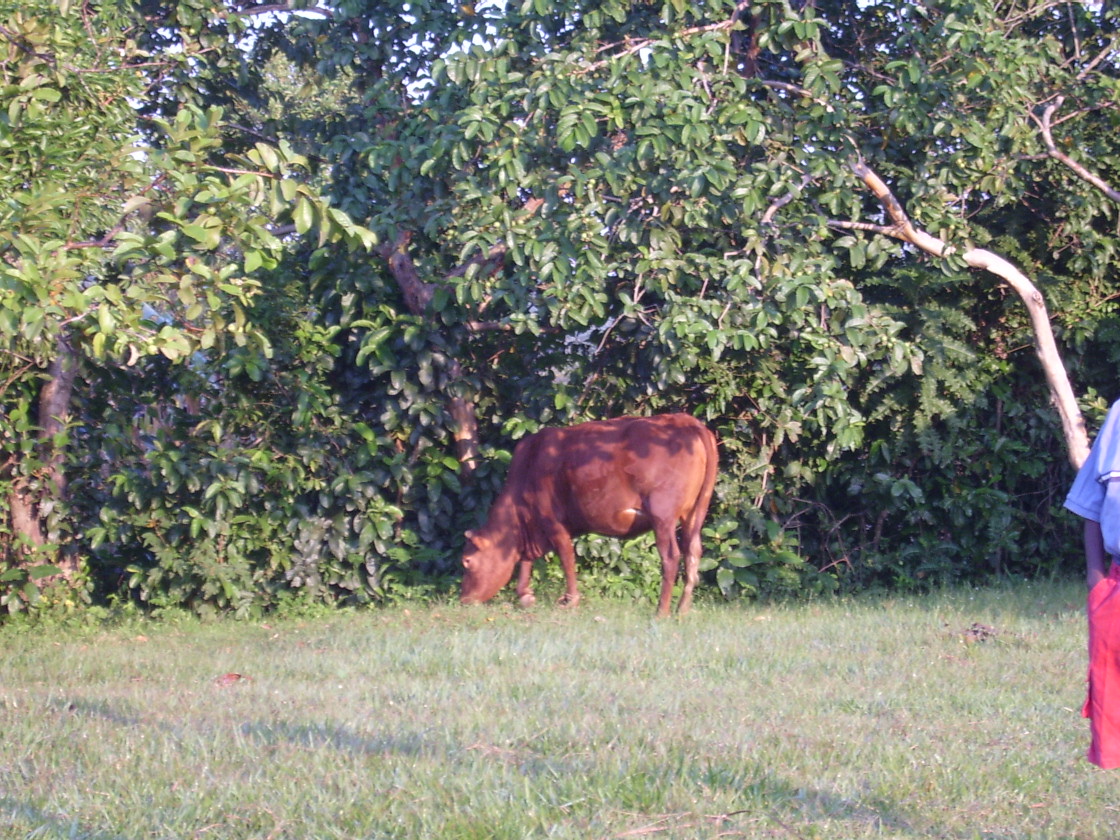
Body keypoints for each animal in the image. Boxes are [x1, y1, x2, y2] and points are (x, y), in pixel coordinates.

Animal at [459, 413, 718, 617]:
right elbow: (526, 559)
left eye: (467, 561)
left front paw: (570, 600)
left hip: (662, 513)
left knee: (671, 556)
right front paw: (525, 595)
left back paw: (662, 611)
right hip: (695, 512)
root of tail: (686, 420)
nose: (463, 600)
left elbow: (566, 557)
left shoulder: (551, 519)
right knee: (693, 552)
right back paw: (682, 609)